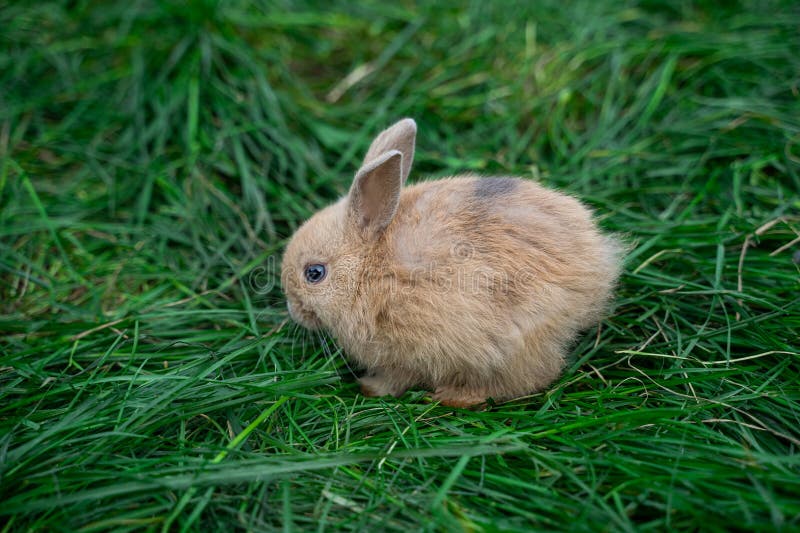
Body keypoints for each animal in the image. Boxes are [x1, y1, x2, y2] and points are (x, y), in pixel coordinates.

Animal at [281, 118, 623, 407]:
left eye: (314, 273)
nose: (293, 309)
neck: (368, 268)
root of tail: (596, 267)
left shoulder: (404, 349)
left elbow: (396, 378)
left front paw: (370, 387)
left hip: (509, 344)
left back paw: (450, 397)